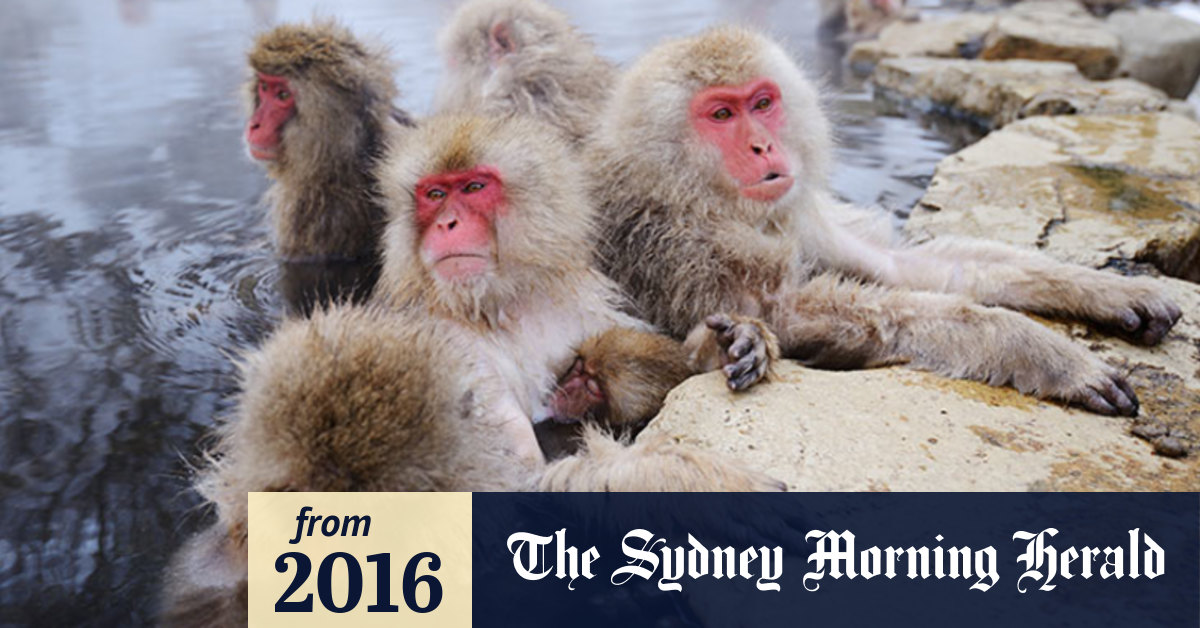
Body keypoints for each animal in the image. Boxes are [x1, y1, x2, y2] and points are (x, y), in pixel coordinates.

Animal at [588, 26, 1183, 418]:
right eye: (720, 115)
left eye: (760, 103)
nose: (762, 146)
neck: (692, 191)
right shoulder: (675, 241)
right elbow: (791, 314)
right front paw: (1043, 352)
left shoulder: (799, 214)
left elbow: (902, 265)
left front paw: (1107, 289)